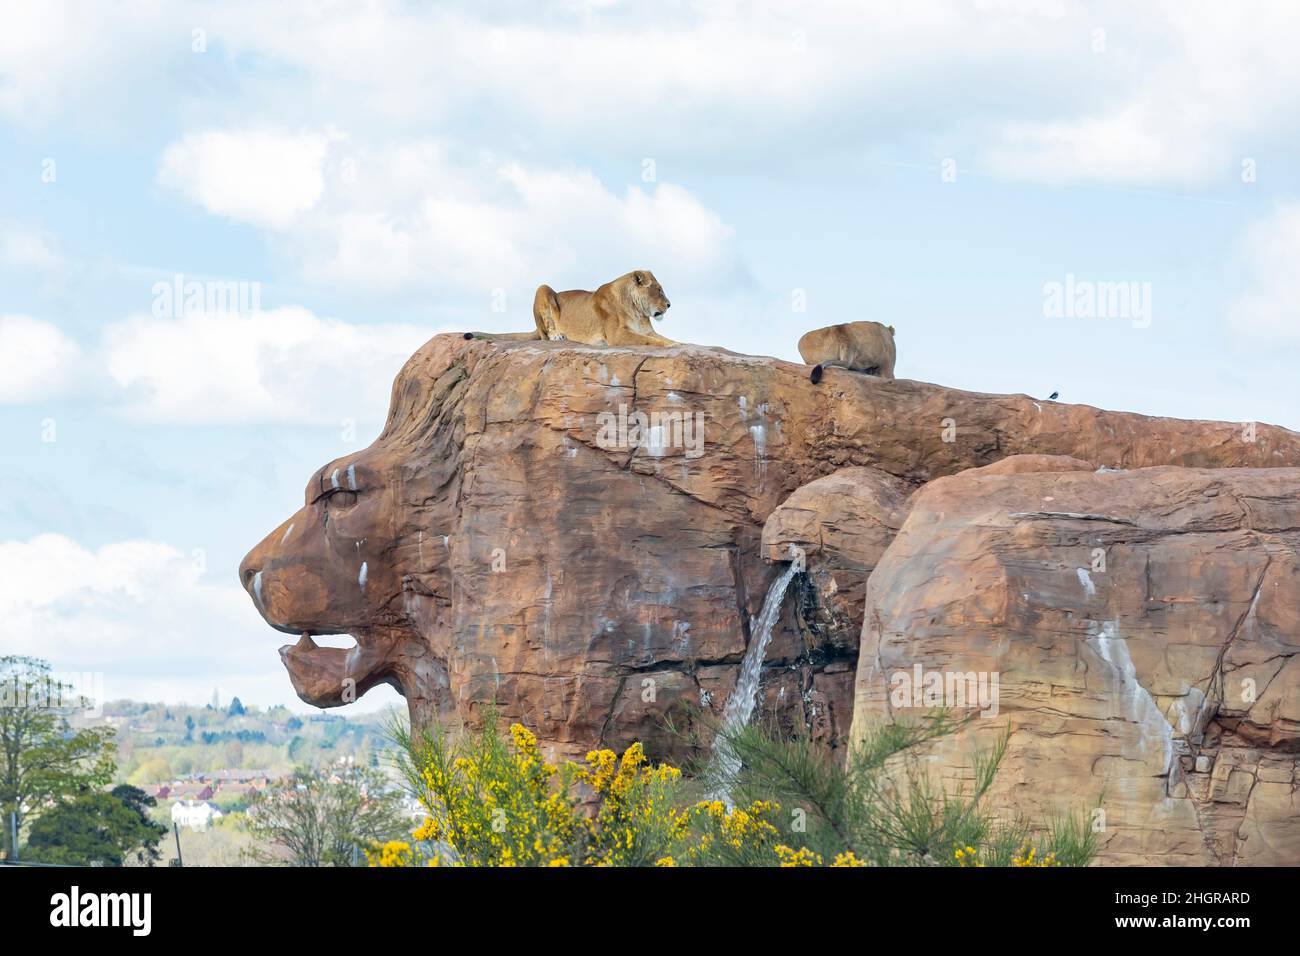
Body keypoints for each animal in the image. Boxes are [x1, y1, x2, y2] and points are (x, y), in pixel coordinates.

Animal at [533, 270, 675, 346]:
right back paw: (557, 336)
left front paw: (677, 343)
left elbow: (661, 338)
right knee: (545, 334)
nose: (669, 304)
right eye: (659, 290)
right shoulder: (617, 334)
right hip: (543, 288)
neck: (637, 313)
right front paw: (671, 345)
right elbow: (648, 340)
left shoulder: (648, 331)